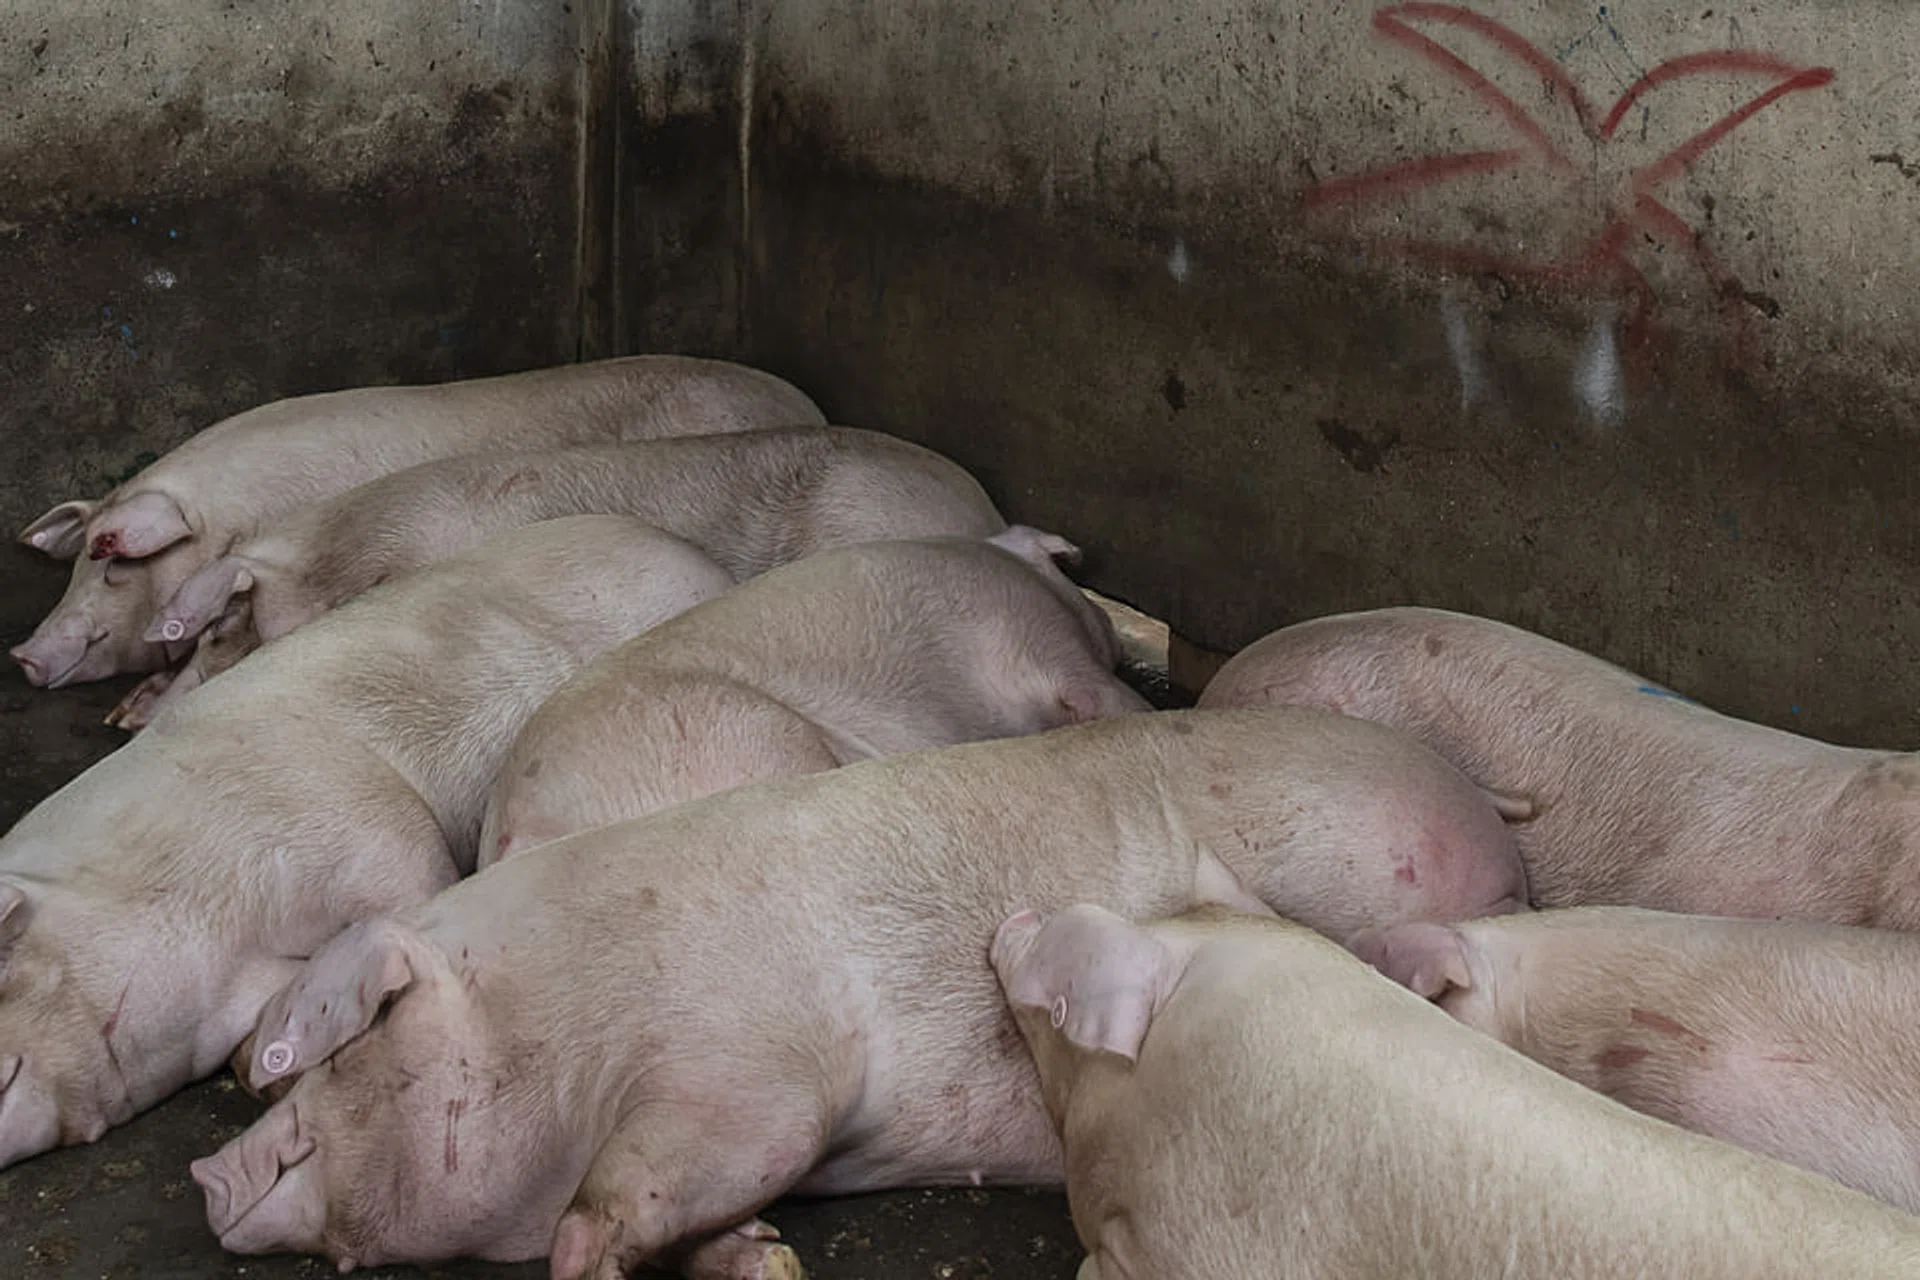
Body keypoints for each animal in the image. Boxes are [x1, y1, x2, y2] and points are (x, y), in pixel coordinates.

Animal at [200, 707, 1528, 1277]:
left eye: (349, 1045)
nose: (207, 1169)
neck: (563, 1010)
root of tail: (1484, 813)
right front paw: (762, 1255)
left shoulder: (750, 1065)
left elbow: (654, 1175)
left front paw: (595, 1260)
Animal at [476, 530, 1148, 864]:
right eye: (1072, 577)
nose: (1114, 626)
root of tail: (518, 829)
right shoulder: (1038, 636)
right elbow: (1102, 695)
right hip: (750, 738)